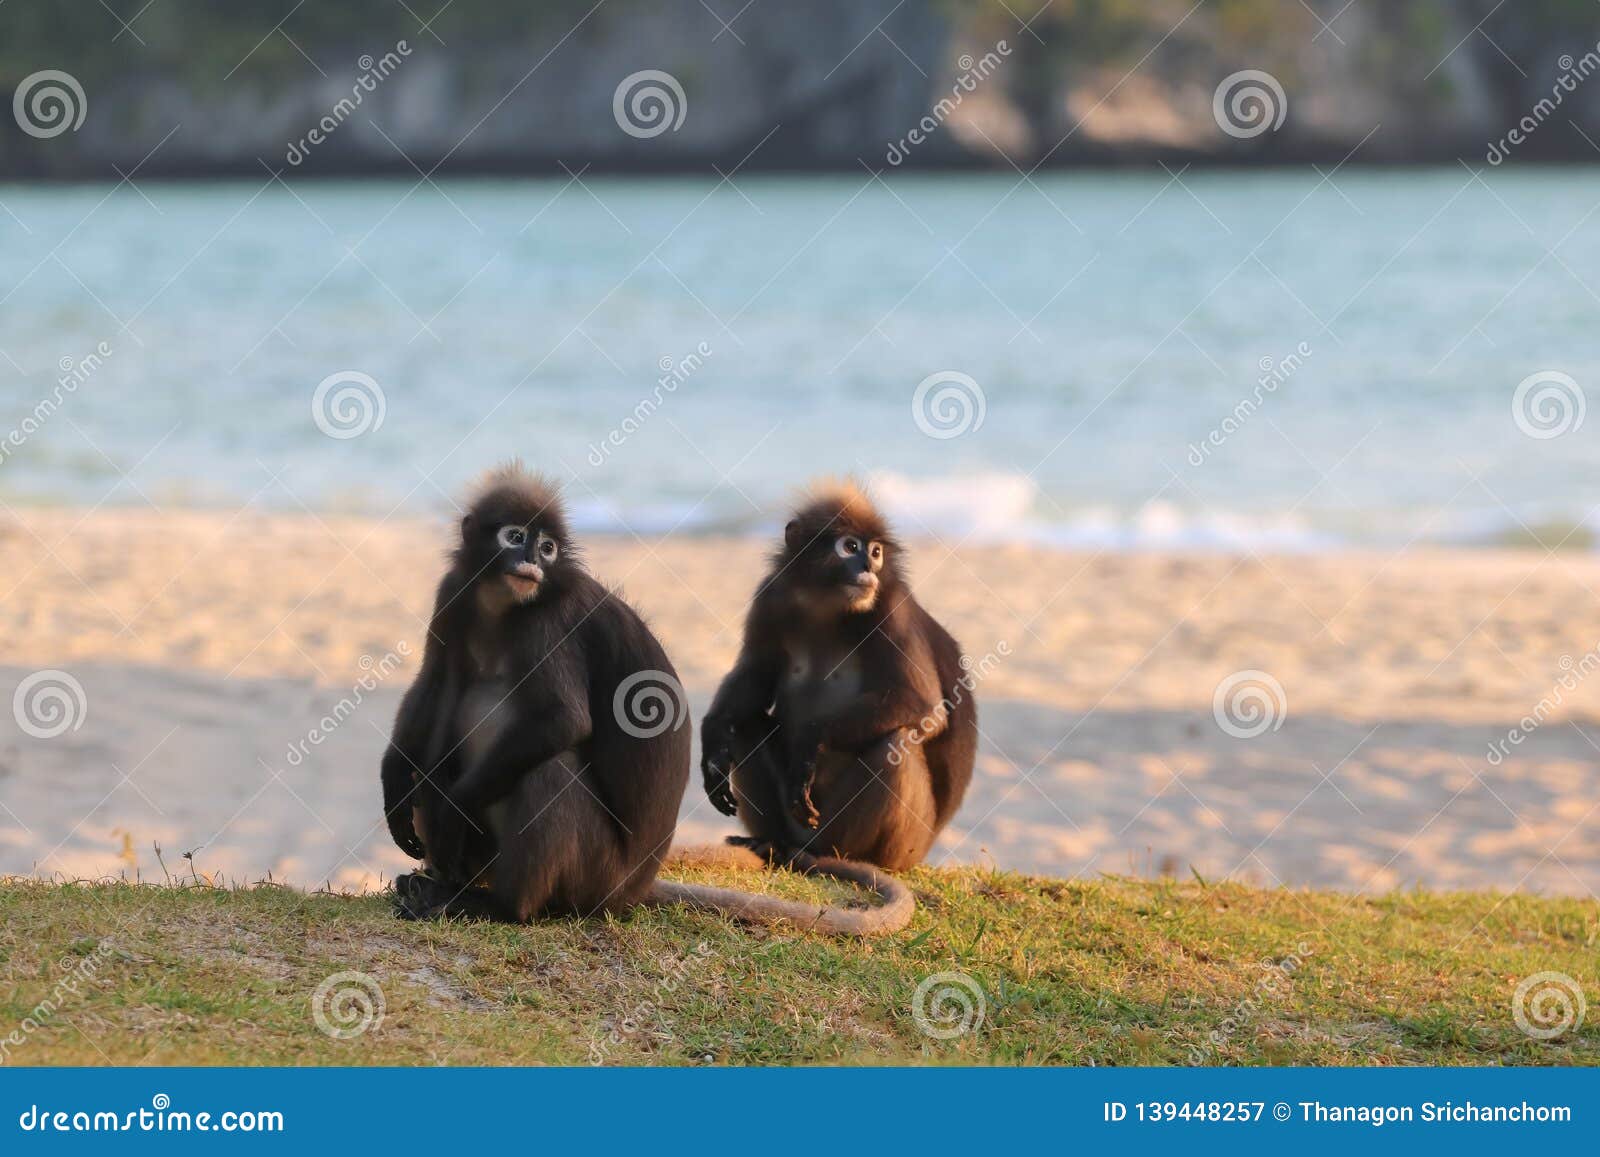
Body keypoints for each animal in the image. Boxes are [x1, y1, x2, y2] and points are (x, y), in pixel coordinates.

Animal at [380, 464, 912, 936]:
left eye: (547, 548)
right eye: (515, 537)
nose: (532, 561)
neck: (503, 607)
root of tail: (632, 889)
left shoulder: (548, 619)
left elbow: (564, 720)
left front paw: (451, 808)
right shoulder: (454, 593)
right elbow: (432, 686)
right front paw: (395, 788)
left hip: (593, 874)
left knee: (550, 769)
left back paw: (498, 907)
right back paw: (437, 880)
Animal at [700, 481, 977, 872]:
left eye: (875, 551)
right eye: (850, 547)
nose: (868, 566)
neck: (825, 604)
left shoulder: (892, 606)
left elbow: (924, 705)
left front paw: (810, 742)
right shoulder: (770, 595)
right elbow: (756, 674)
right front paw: (712, 742)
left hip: (899, 842)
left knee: (894, 743)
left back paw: (848, 859)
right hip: (794, 821)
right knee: (745, 723)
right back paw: (770, 842)